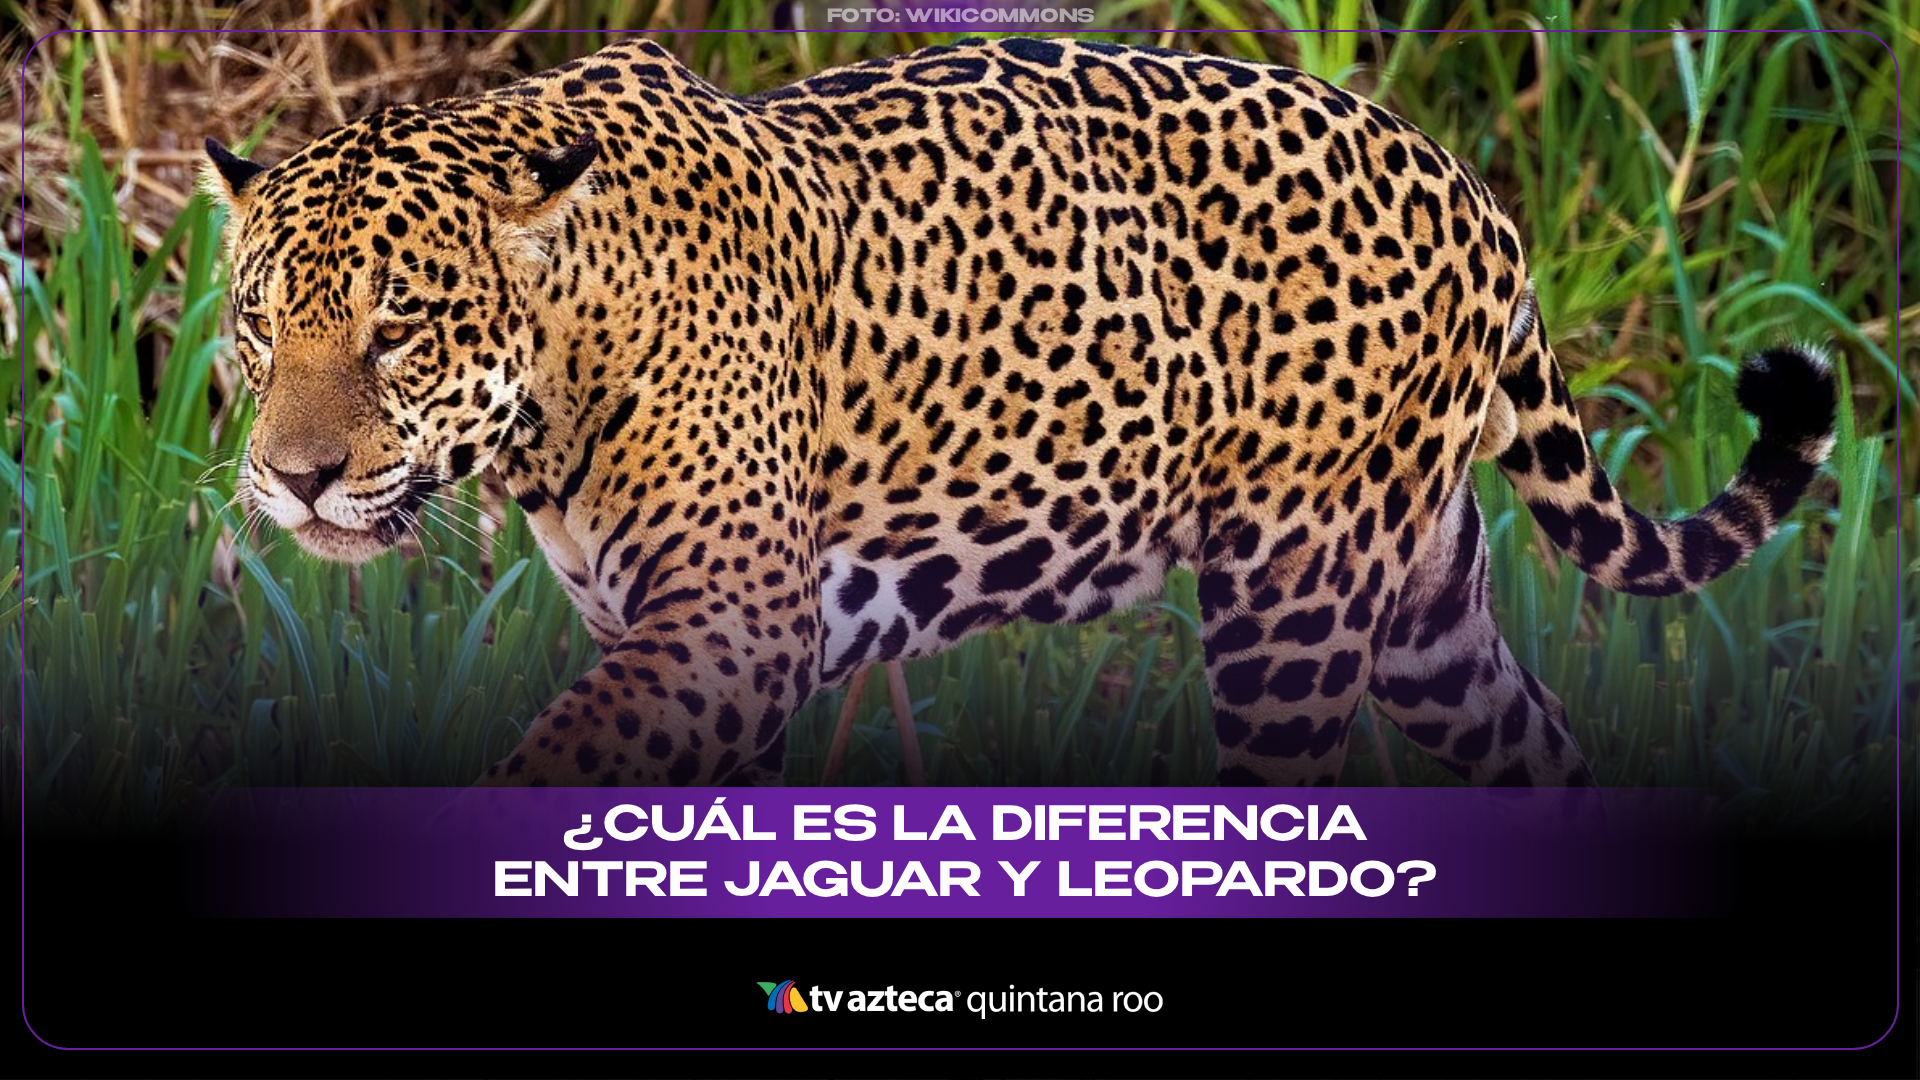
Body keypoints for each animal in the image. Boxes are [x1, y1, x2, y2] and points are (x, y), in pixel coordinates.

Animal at [204, 35, 1836, 788]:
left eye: (400, 331)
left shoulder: (731, 628)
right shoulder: (686, 655)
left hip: (1299, 603)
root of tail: (1476, 194)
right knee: (1541, 751)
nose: (292, 482)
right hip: (1426, 610)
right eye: (259, 324)